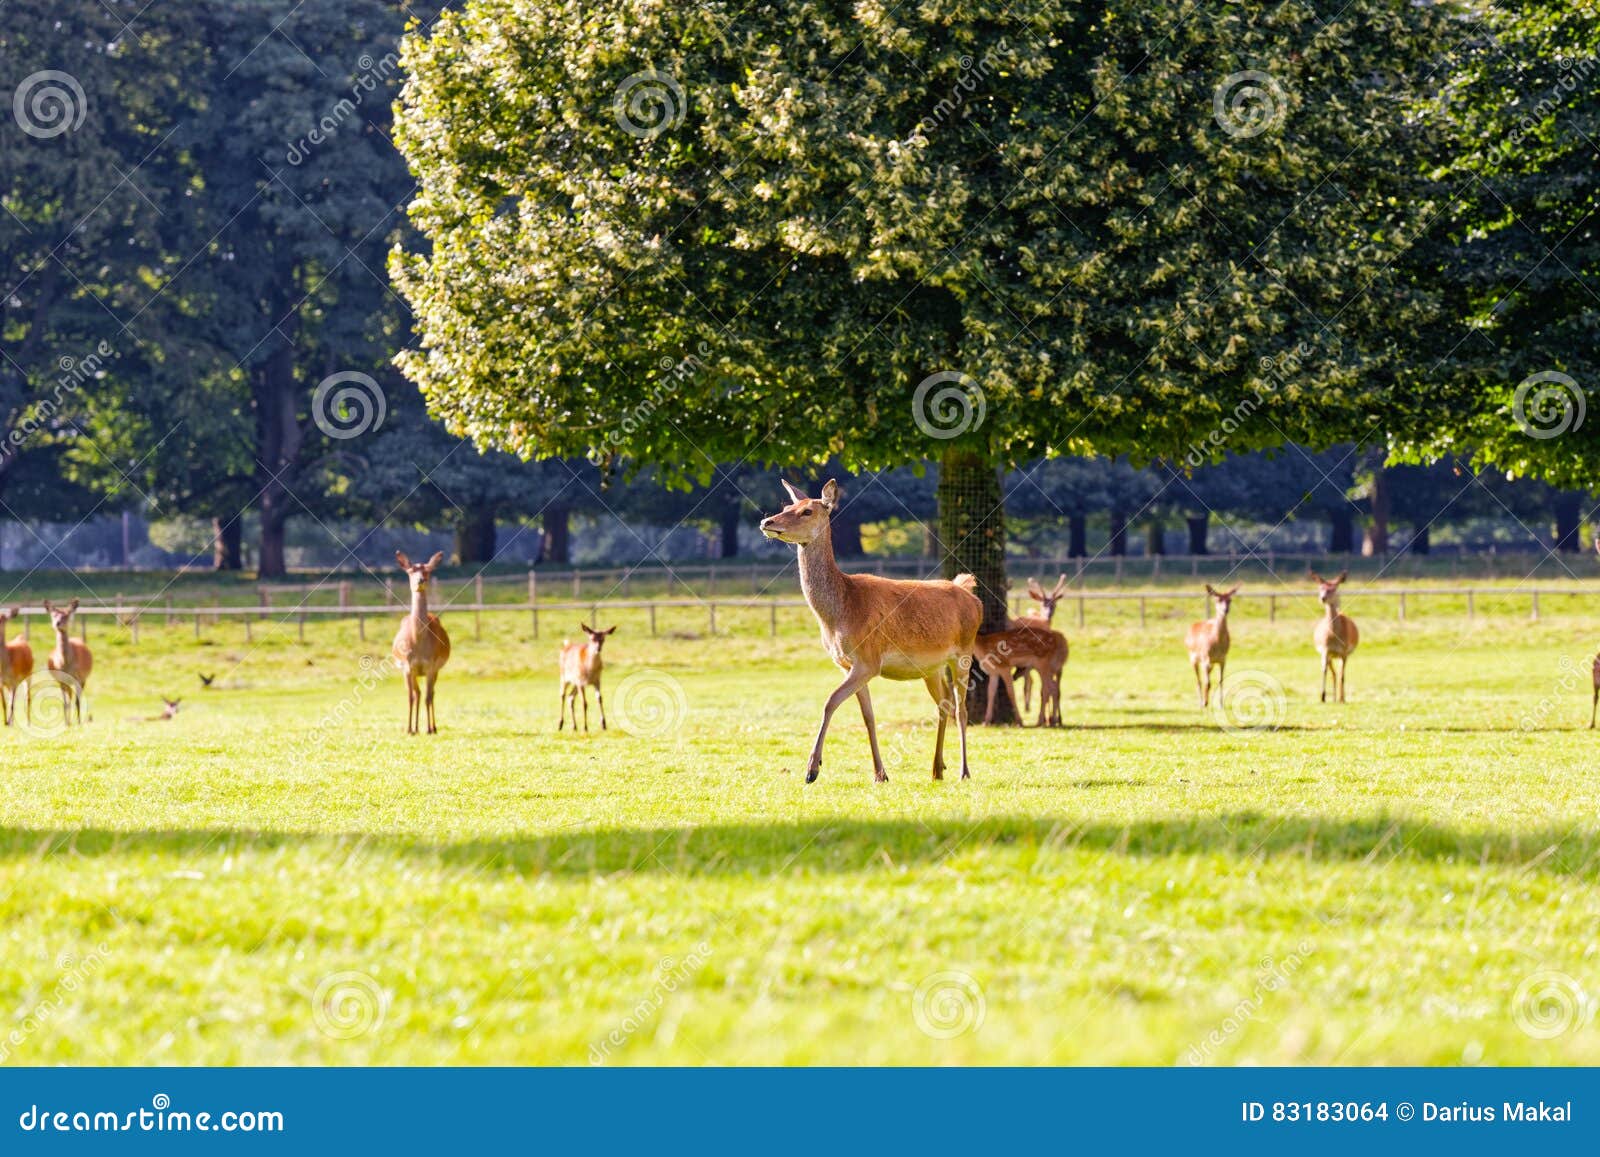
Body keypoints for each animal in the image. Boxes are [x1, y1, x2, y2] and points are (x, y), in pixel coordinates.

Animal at [391, 551, 451, 734]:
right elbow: (411, 697)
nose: (420, 580)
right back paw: (416, 728)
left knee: (431, 693)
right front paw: (408, 729)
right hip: (410, 672)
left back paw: (432, 727)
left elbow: (428, 696)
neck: (417, 644)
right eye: (410, 571)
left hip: (435, 669)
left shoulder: (431, 666)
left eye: (428, 571)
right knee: (417, 693)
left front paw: (430, 729)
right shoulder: (408, 667)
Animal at [760, 479, 983, 782]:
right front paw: (880, 774)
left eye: (807, 511)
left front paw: (812, 769)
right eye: (786, 506)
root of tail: (970, 593)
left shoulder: (868, 659)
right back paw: (937, 768)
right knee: (944, 703)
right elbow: (868, 717)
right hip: (931, 667)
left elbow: (829, 701)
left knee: (961, 709)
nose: (767, 521)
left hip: (964, 652)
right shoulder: (847, 664)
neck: (839, 614)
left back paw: (964, 771)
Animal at [1311, 570, 1359, 703]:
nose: (1323, 598)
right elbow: (1324, 671)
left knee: (1338, 673)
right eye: (1321, 587)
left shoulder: (1344, 651)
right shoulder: (1325, 650)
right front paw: (1322, 697)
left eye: (1334, 588)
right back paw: (1333, 698)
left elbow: (1343, 675)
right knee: (1333, 673)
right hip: (1331, 656)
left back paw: (1338, 698)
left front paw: (1342, 698)